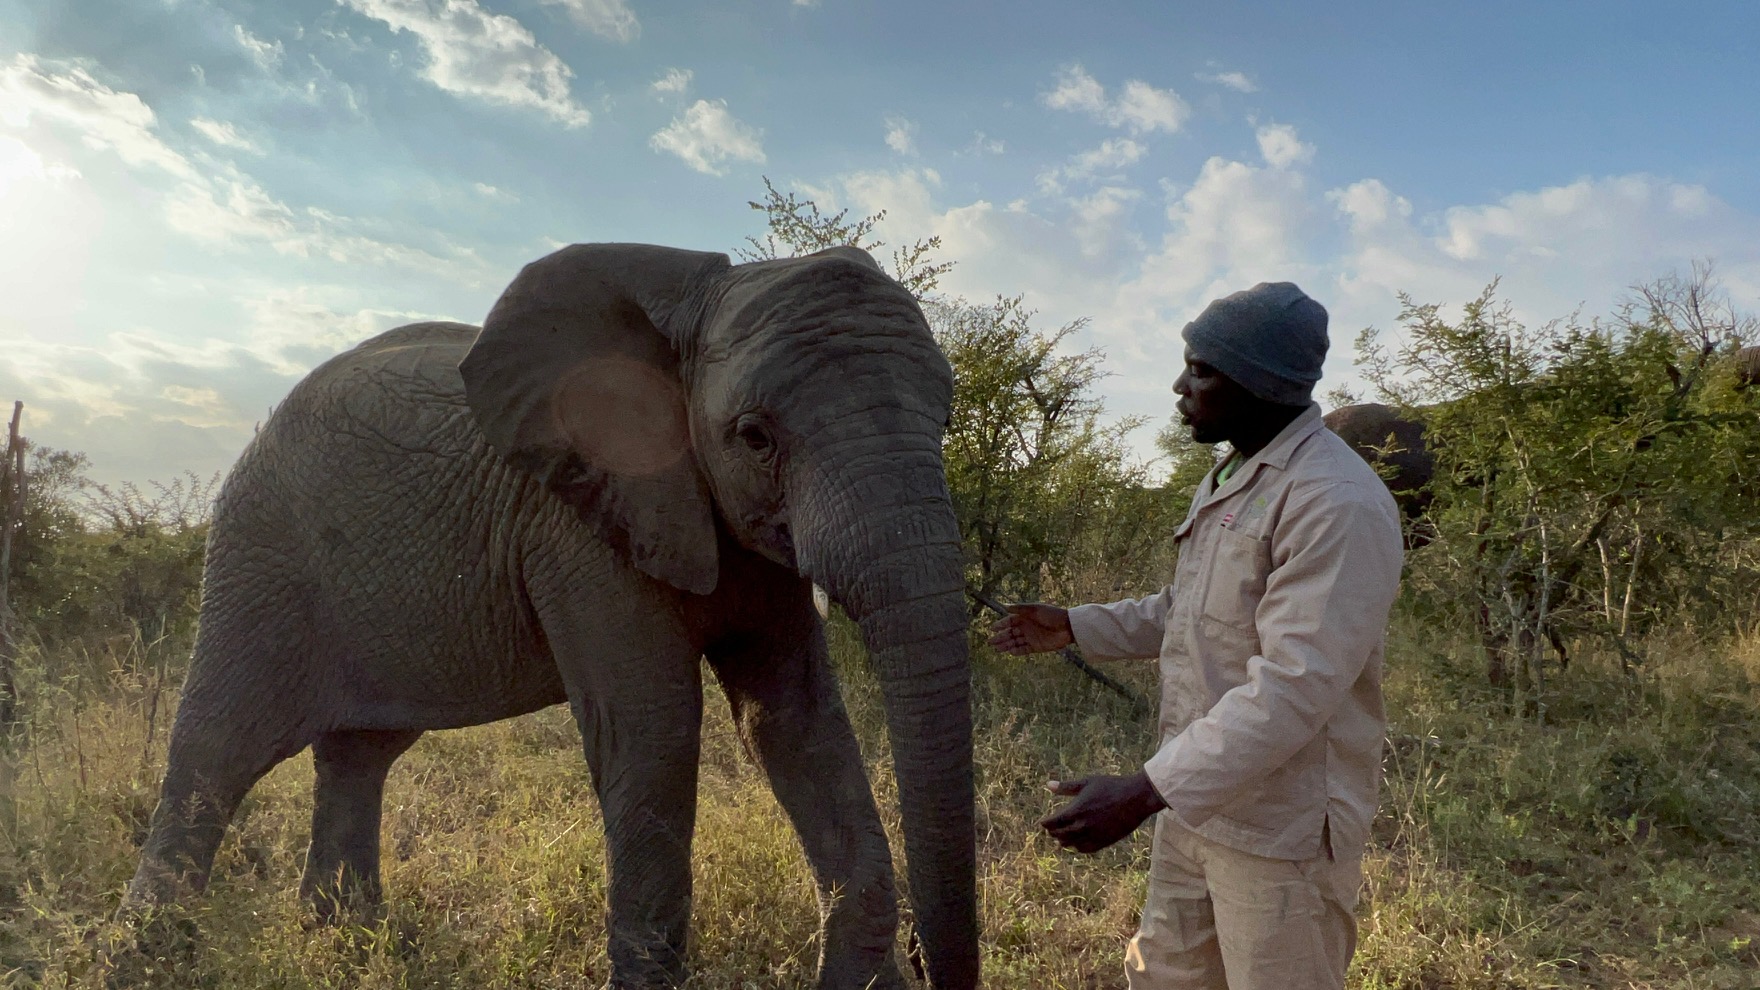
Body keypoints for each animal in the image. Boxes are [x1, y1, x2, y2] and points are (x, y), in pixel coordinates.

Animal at [121, 243, 979, 990]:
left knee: (358, 754)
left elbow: (797, 724)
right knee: (218, 751)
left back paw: (350, 944)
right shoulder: (580, 529)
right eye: (755, 437)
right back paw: (146, 960)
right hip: (260, 555)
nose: (925, 958)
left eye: (944, 420)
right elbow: (656, 730)